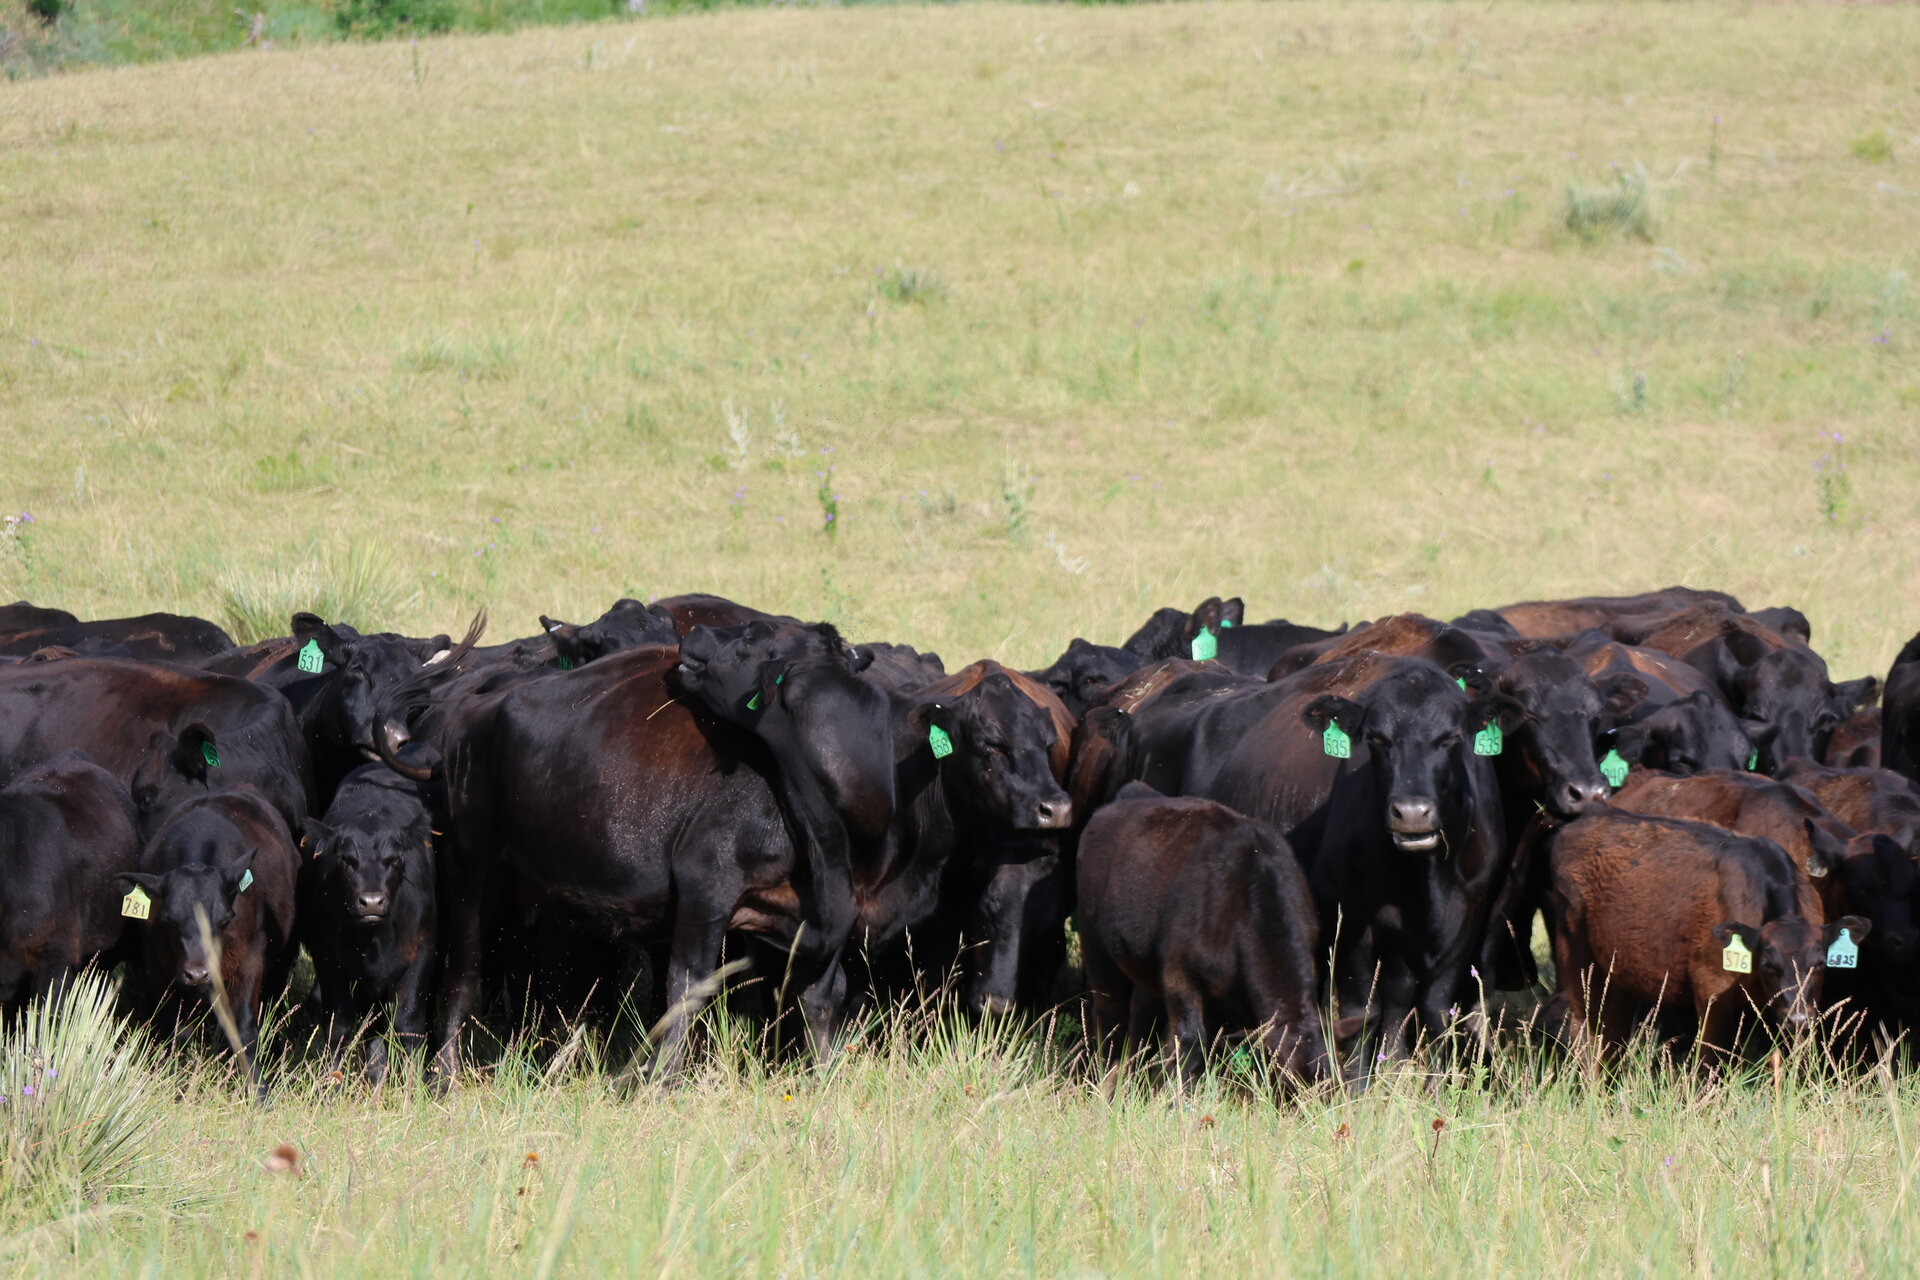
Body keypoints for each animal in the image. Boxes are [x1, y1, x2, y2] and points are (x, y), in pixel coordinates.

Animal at [119, 786, 299, 1100]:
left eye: (225, 920)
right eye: (170, 919)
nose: (197, 974)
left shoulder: (251, 961)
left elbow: (244, 1030)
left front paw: (258, 1092)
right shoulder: (156, 967)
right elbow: (175, 1028)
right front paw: (176, 1085)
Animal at [301, 765, 437, 1085]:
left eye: (395, 859)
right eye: (346, 861)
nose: (372, 901)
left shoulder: (423, 950)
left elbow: (408, 1024)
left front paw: (414, 1087)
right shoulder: (327, 955)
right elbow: (339, 1023)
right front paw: (331, 1085)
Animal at [1544, 811, 1862, 1057]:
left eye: (1819, 965)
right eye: (1768, 964)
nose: (1797, 1018)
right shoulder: (1712, 993)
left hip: (1620, 974)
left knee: (1612, 1035)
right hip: (1578, 963)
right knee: (1585, 1034)